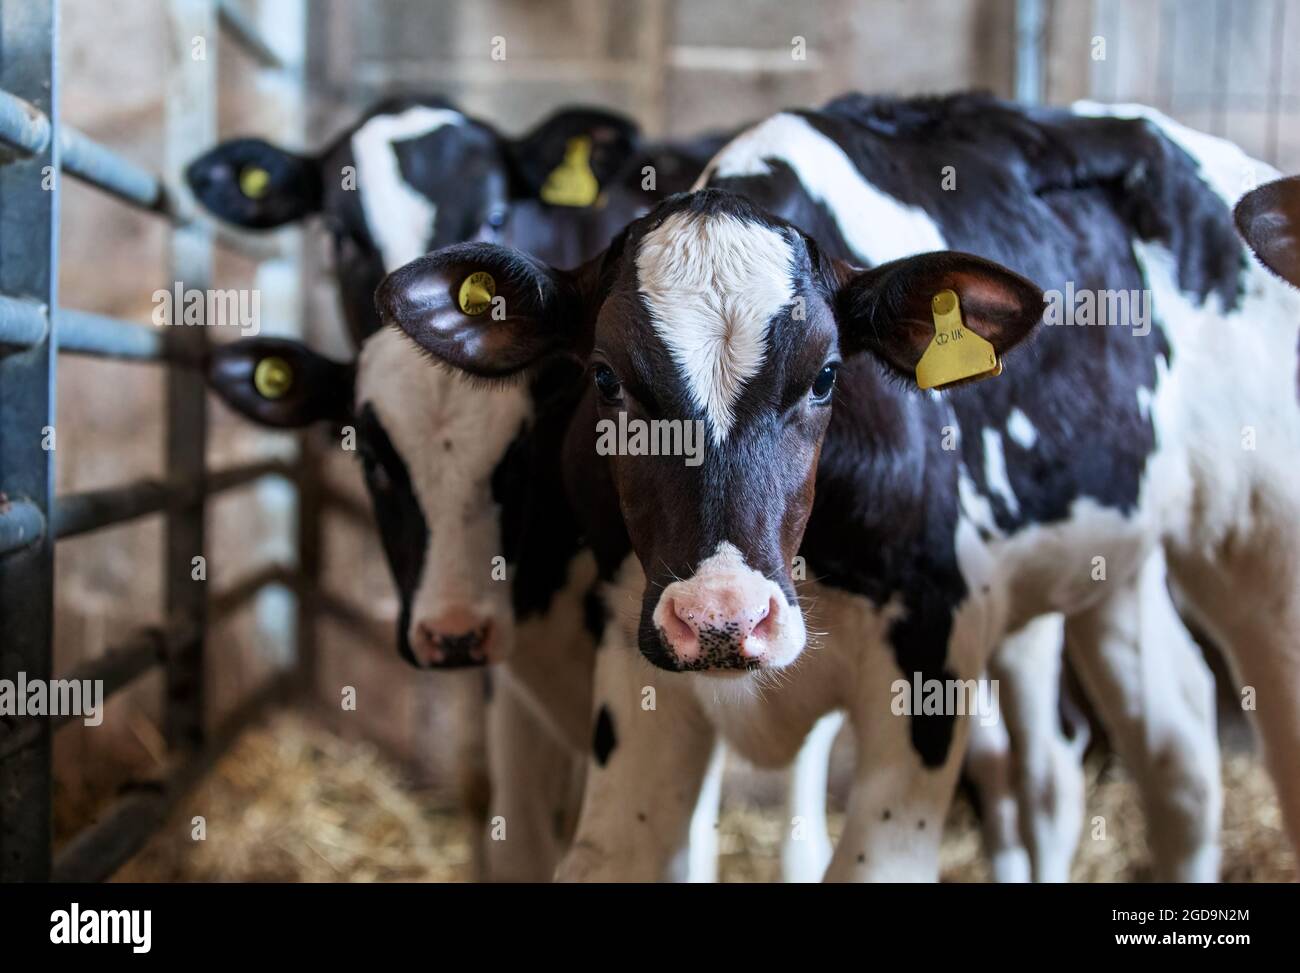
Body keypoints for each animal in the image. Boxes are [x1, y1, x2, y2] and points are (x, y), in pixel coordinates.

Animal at [376, 93, 1296, 882]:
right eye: (605, 378)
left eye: (824, 376)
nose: (723, 617)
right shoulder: (634, 655)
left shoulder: (932, 646)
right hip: (1113, 560)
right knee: (1176, 745)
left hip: (1264, 540)